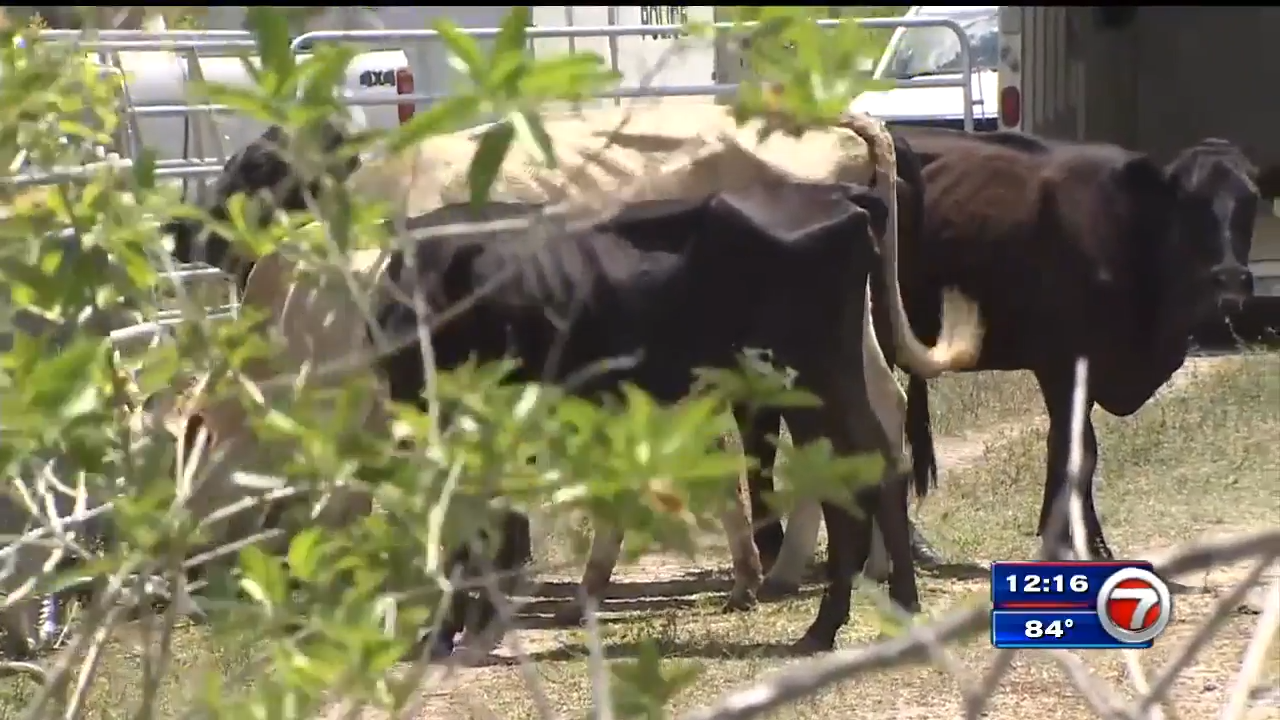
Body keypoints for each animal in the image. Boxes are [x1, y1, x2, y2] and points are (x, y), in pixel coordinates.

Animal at [749, 128, 1259, 583]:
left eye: (1252, 202)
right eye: (1191, 204)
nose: (1232, 279)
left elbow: (1073, 450)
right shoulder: (1061, 362)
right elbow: (1075, 449)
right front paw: (1071, 544)